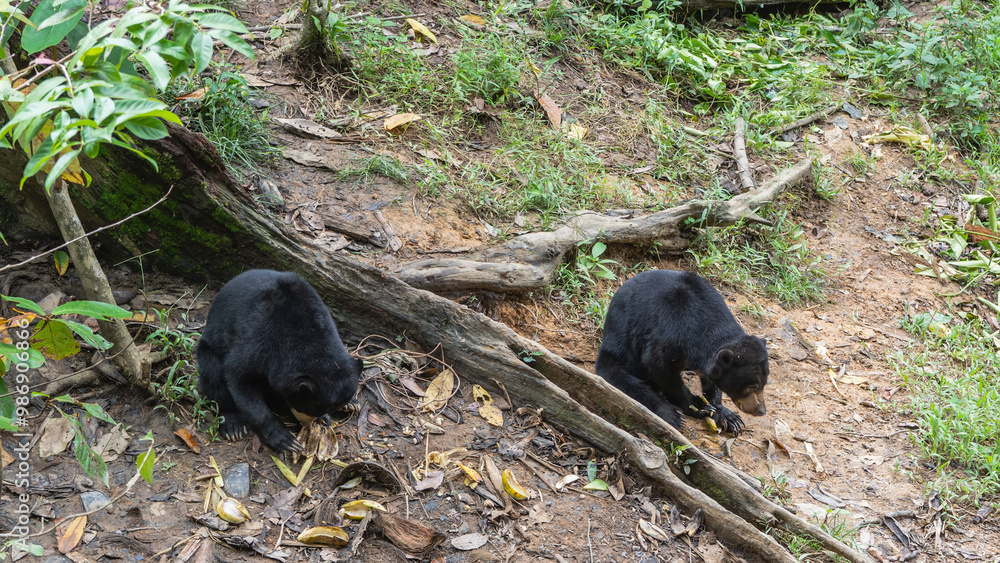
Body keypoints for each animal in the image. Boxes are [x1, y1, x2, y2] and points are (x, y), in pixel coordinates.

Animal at [196, 269, 362, 452]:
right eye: (307, 407)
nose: (308, 423)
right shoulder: (260, 339)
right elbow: (238, 376)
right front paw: (286, 440)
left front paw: (336, 411)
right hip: (210, 348)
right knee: (214, 375)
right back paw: (233, 426)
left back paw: (352, 404)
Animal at [595, 269, 769, 436]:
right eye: (751, 387)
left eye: (764, 384)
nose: (761, 411)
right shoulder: (670, 331)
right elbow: (659, 366)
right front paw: (696, 407)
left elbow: (711, 380)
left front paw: (727, 416)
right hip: (621, 348)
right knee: (623, 379)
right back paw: (670, 413)